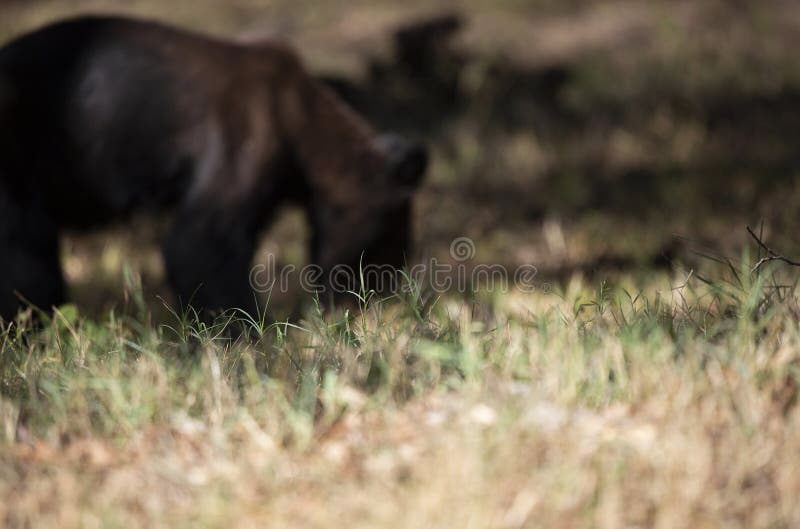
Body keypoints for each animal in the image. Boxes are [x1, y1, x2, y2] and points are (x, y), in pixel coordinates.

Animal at [0, 15, 428, 321]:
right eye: (393, 233)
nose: (388, 296)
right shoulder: (232, 167)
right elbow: (201, 254)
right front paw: (249, 337)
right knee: (26, 264)